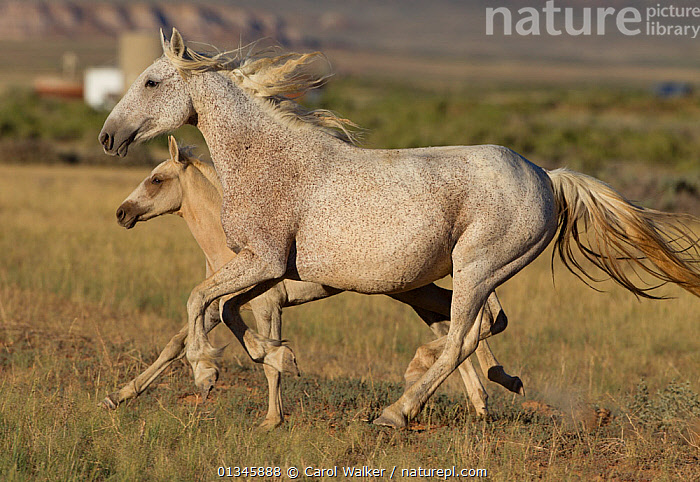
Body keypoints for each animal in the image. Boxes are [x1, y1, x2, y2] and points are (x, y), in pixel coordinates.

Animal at [108, 135, 524, 428]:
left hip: (416, 289)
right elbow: (177, 343)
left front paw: (272, 413)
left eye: (156, 179)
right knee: (457, 324)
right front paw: (119, 395)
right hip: (413, 291)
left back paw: (484, 386)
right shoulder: (221, 306)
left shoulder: (265, 304)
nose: (122, 213)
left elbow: (263, 358)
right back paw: (483, 395)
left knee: (471, 322)